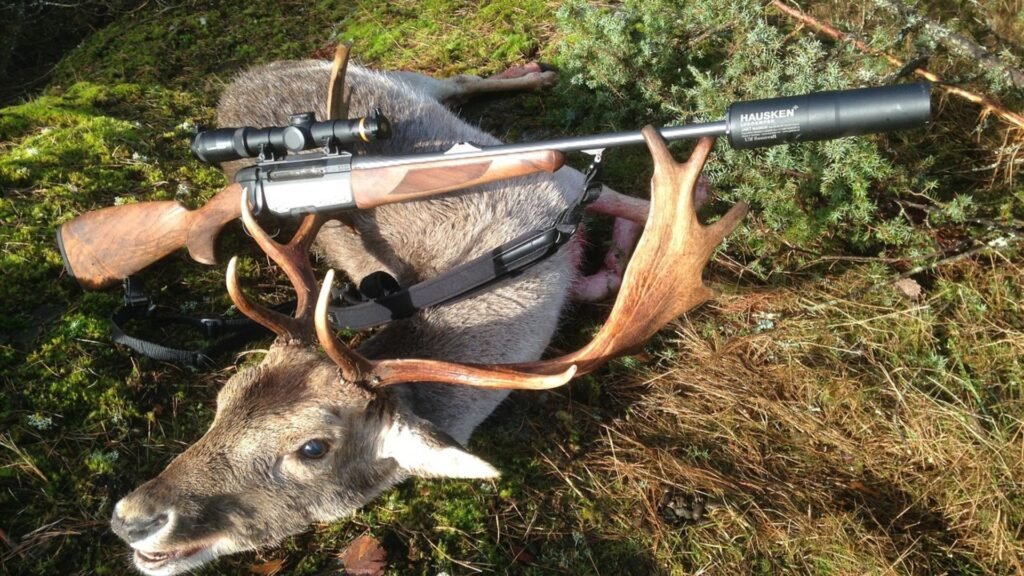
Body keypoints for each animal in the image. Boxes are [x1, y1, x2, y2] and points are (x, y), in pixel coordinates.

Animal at [108, 47, 747, 575]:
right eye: (225, 398)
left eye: (313, 448)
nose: (133, 516)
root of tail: (235, 84)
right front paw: (616, 251)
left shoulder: (564, 182)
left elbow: (650, 204)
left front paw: (652, 219)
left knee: (456, 81)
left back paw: (533, 73)